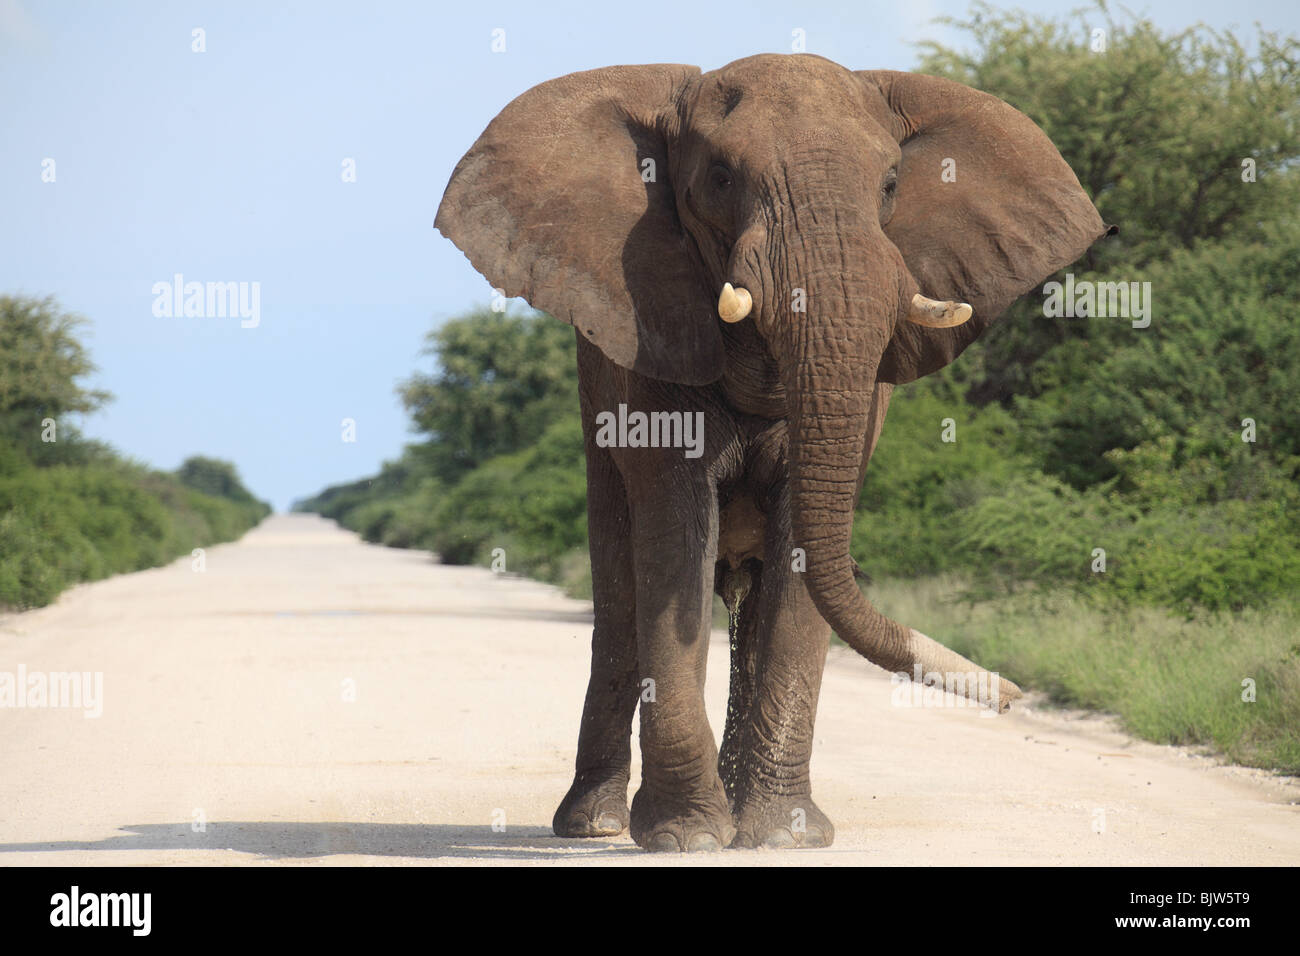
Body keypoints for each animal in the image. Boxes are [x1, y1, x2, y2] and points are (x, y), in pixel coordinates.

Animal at [435, 53, 1107, 851]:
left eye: (890, 183)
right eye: (721, 177)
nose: (1010, 694)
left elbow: (800, 557)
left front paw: (784, 835)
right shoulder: (650, 325)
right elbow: (674, 543)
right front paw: (688, 836)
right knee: (620, 589)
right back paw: (593, 824)